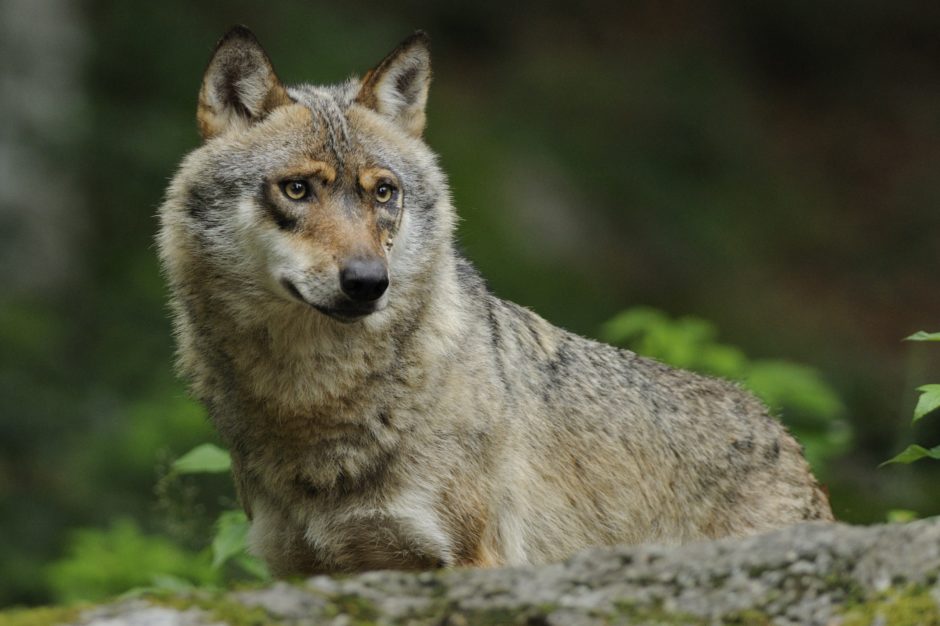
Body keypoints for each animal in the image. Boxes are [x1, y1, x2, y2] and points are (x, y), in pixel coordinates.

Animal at [158, 26, 833, 575]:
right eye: (297, 189)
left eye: (383, 193)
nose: (369, 282)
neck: (316, 403)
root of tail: (784, 437)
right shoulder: (303, 572)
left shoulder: (468, 561)